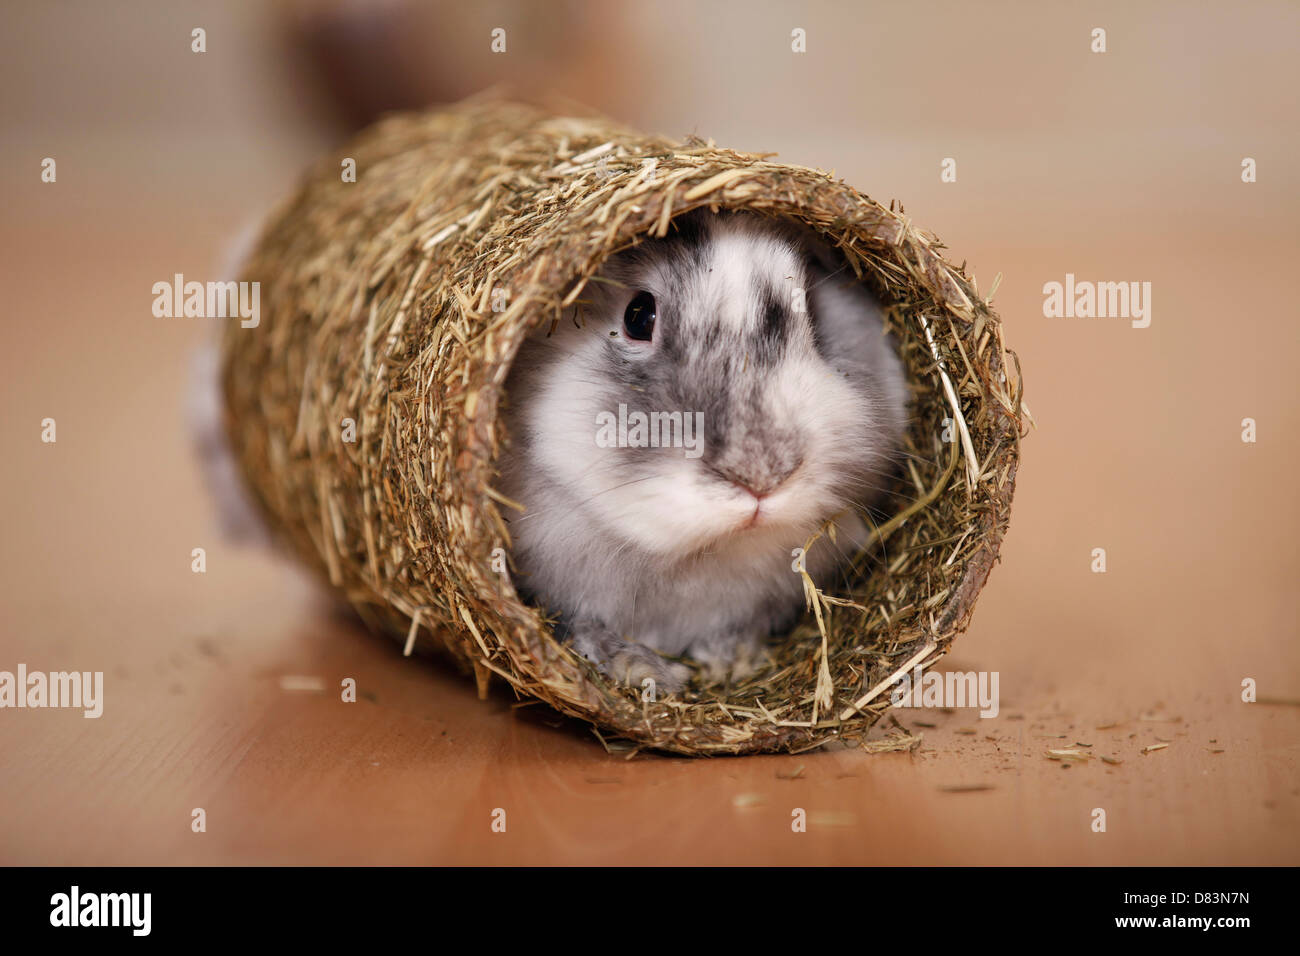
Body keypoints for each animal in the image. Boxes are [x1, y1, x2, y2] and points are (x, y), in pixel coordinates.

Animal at [496, 209, 908, 695]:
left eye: (812, 306)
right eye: (638, 316)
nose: (761, 475)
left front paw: (733, 659)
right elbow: (582, 621)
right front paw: (641, 670)